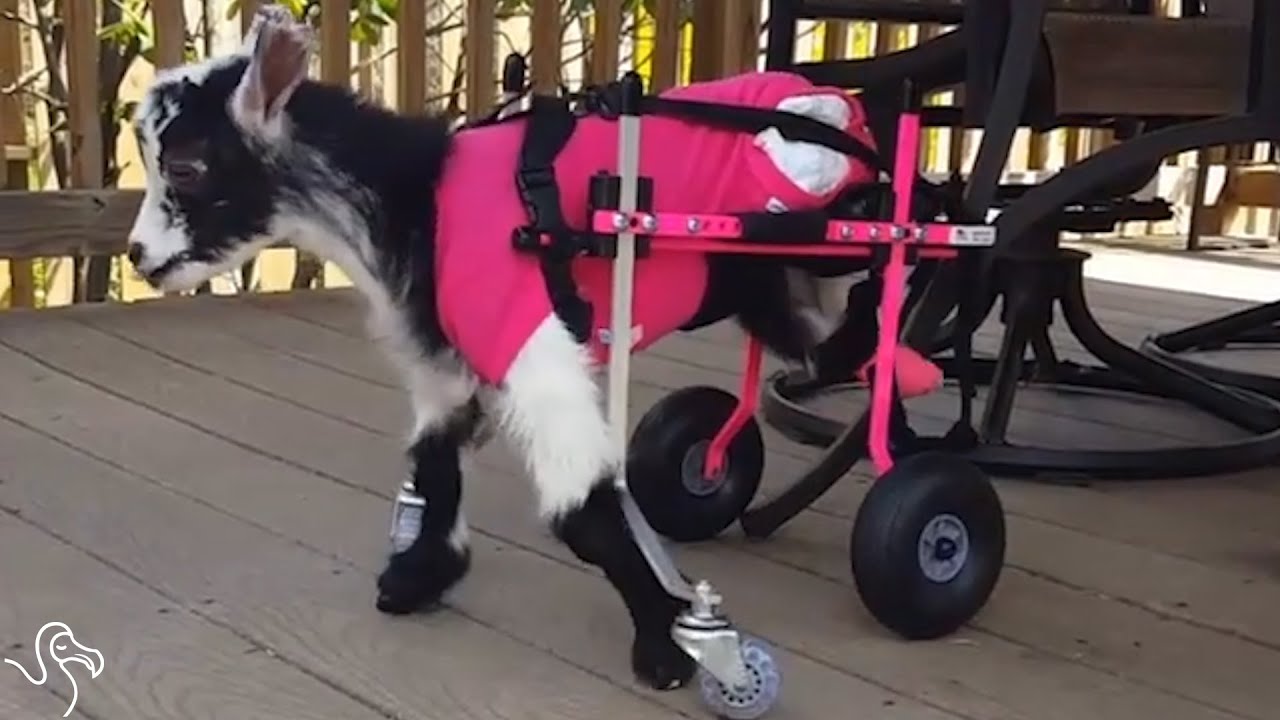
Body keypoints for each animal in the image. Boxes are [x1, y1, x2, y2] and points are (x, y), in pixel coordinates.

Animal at [125, 4, 900, 691]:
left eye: (186, 166)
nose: (137, 256)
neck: (419, 204)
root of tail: (833, 106)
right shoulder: (445, 356)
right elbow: (435, 459)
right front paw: (421, 575)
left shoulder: (528, 338)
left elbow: (581, 509)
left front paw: (667, 646)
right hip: (762, 276)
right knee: (824, 340)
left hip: (804, 232)